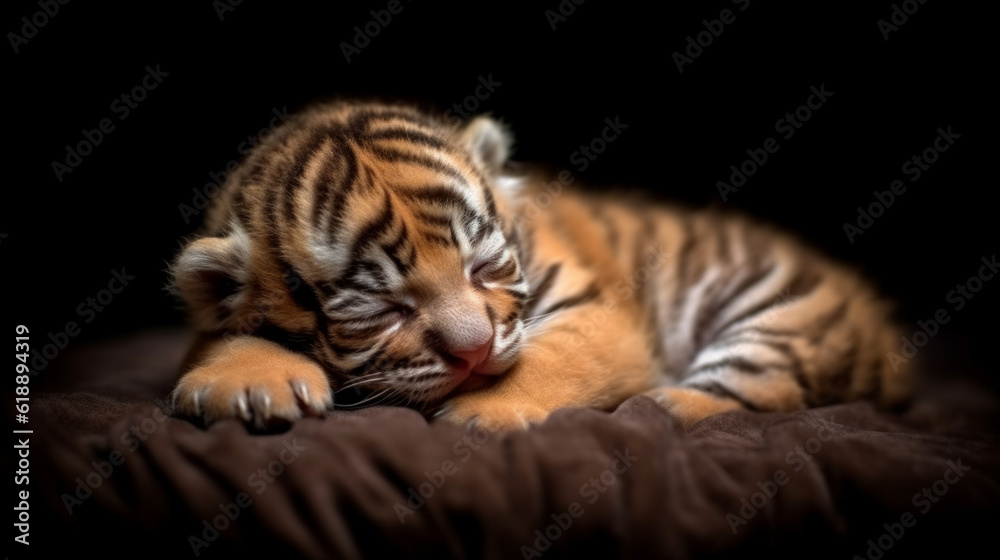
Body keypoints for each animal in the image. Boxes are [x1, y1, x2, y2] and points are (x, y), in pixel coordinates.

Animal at [169, 100, 911, 431]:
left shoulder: (599, 315)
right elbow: (218, 334)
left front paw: (480, 412)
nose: (472, 353)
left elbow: (557, 357)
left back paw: (661, 403)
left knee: (762, 386)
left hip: (782, 311)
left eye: (483, 270)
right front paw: (246, 383)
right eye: (384, 309)